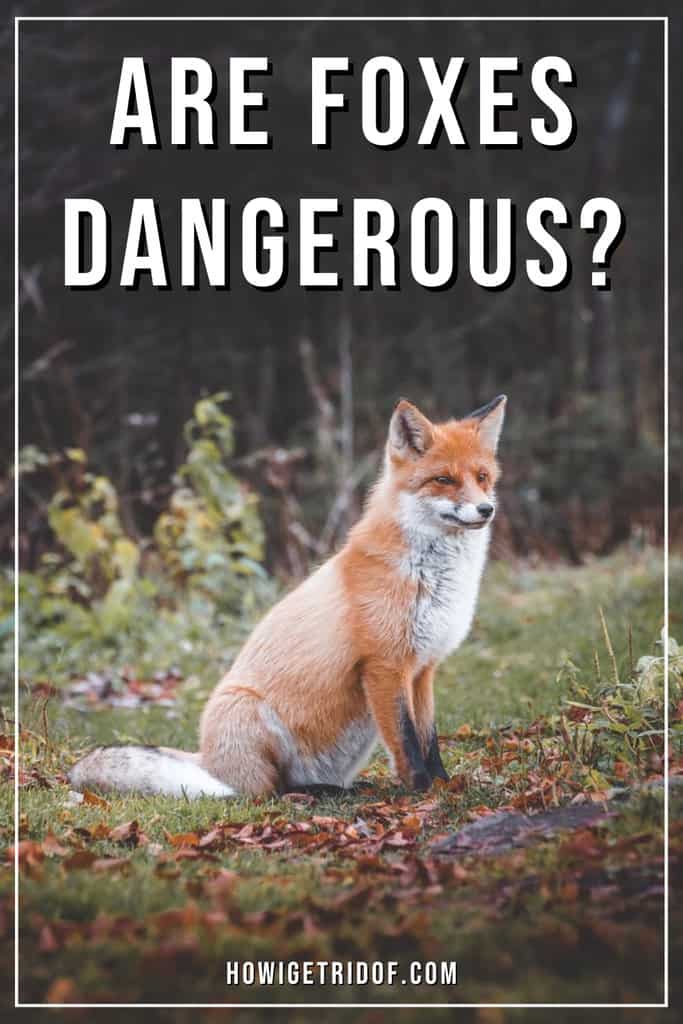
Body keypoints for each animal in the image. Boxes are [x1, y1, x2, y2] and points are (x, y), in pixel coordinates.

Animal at [69, 394, 506, 799]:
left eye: (482, 476)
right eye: (444, 480)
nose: (486, 509)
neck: (434, 578)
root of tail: (209, 763)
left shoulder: (423, 668)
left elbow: (429, 739)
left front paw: (445, 786)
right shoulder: (385, 666)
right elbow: (407, 743)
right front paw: (422, 792)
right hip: (247, 713)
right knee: (267, 791)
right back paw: (316, 793)